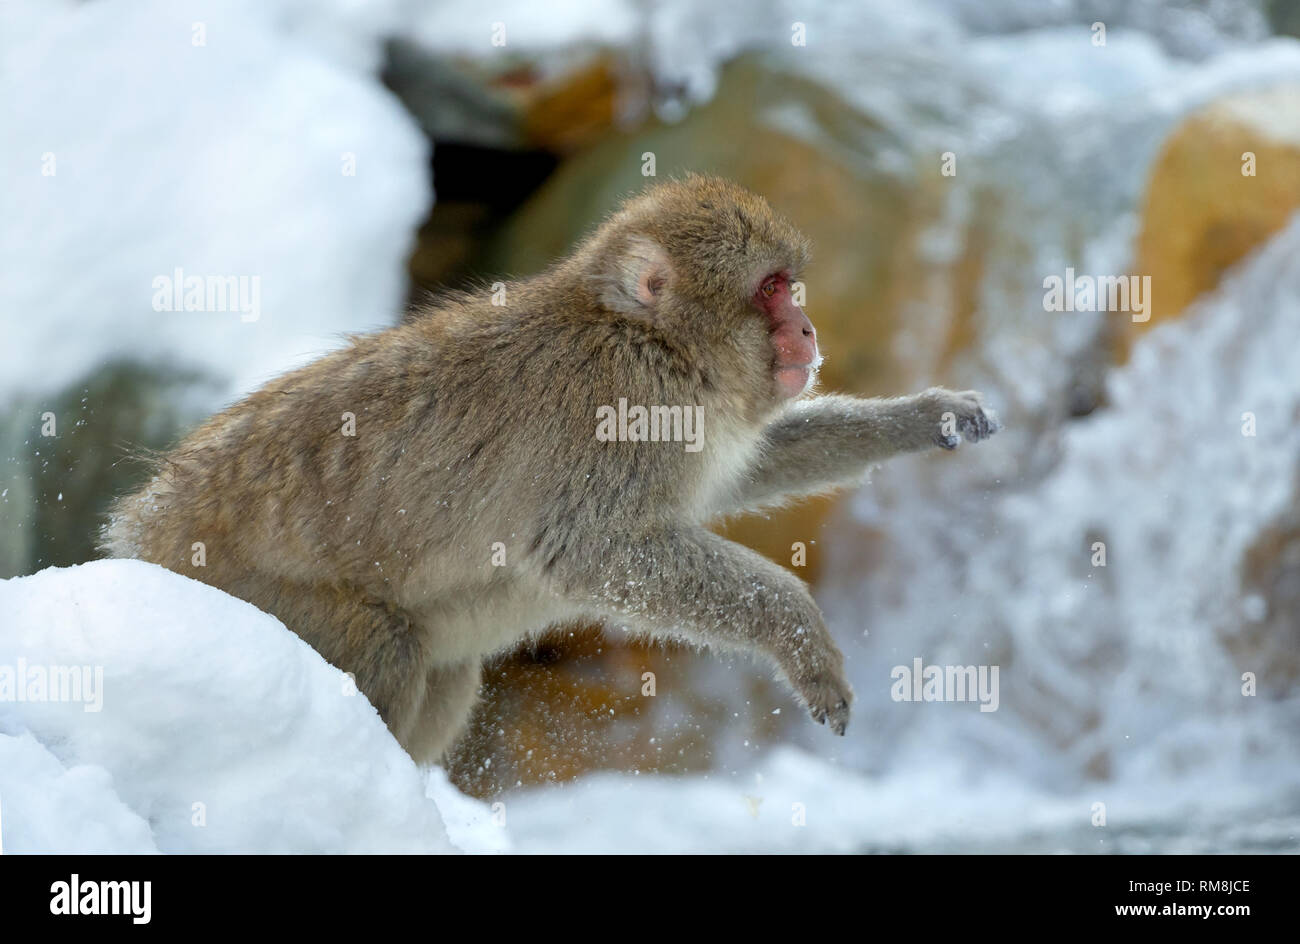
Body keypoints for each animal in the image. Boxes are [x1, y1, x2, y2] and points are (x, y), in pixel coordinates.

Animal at [102, 175, 999, 764]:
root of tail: (139, 538)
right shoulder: (622, 413)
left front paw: (929, 416)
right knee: (386, 651)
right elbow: (587, 551)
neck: (651, 341)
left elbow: (737, 475)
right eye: (772, 289)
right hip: (260, 605)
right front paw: (803, 637)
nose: (807, 330)